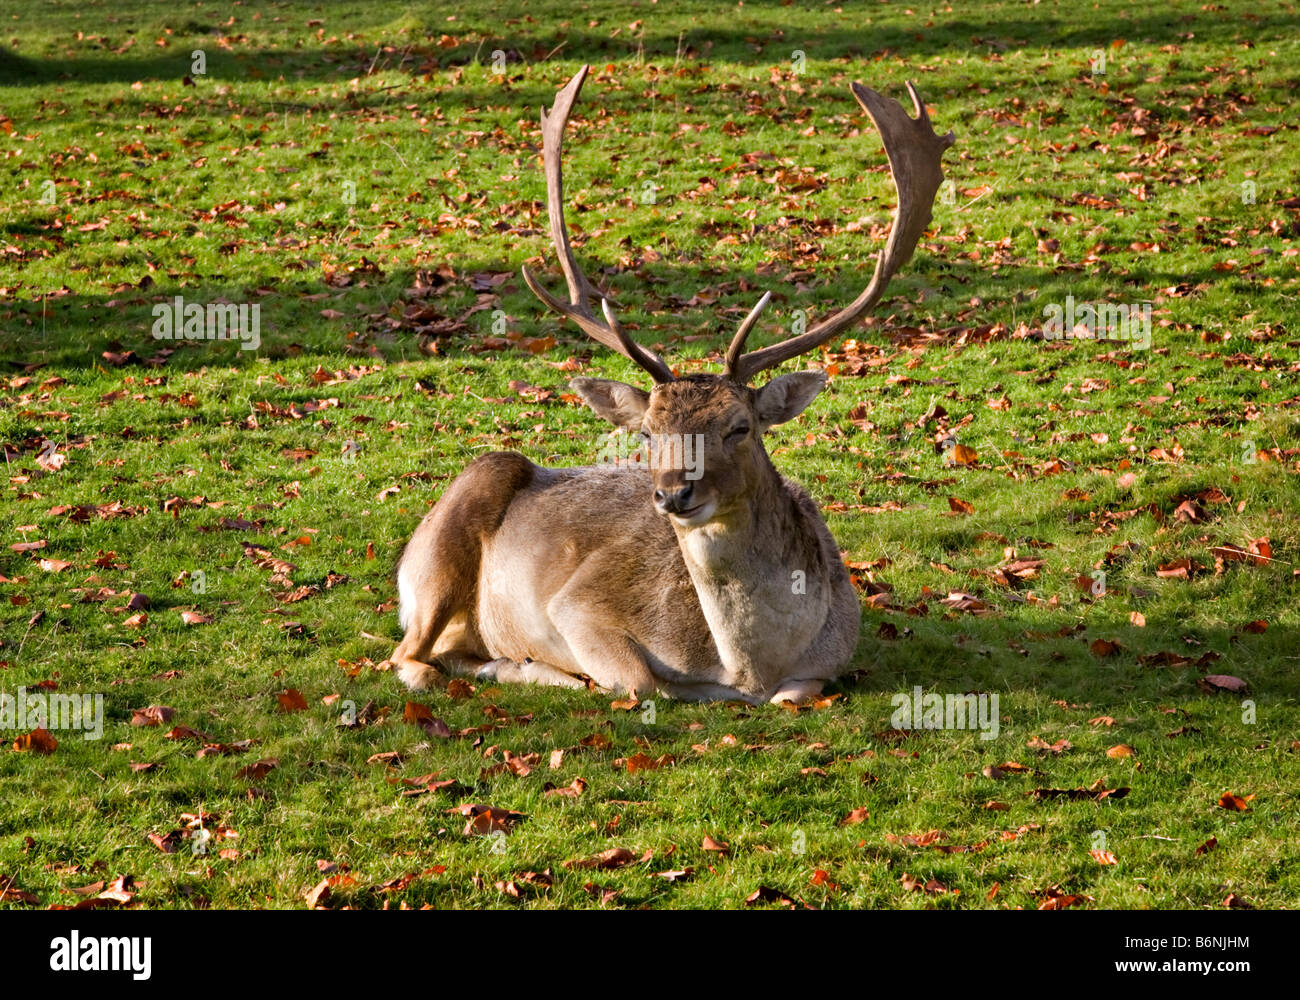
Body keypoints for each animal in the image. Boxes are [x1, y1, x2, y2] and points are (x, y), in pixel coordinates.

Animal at [391, 65, 953, 704]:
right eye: (648, 432)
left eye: (740, 427)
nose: (672, 494)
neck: (749, 668)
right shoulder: (578, 605)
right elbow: (640, 682)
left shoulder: (830, 660)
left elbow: (795, 693)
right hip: (446, 544)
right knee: (408, 656)